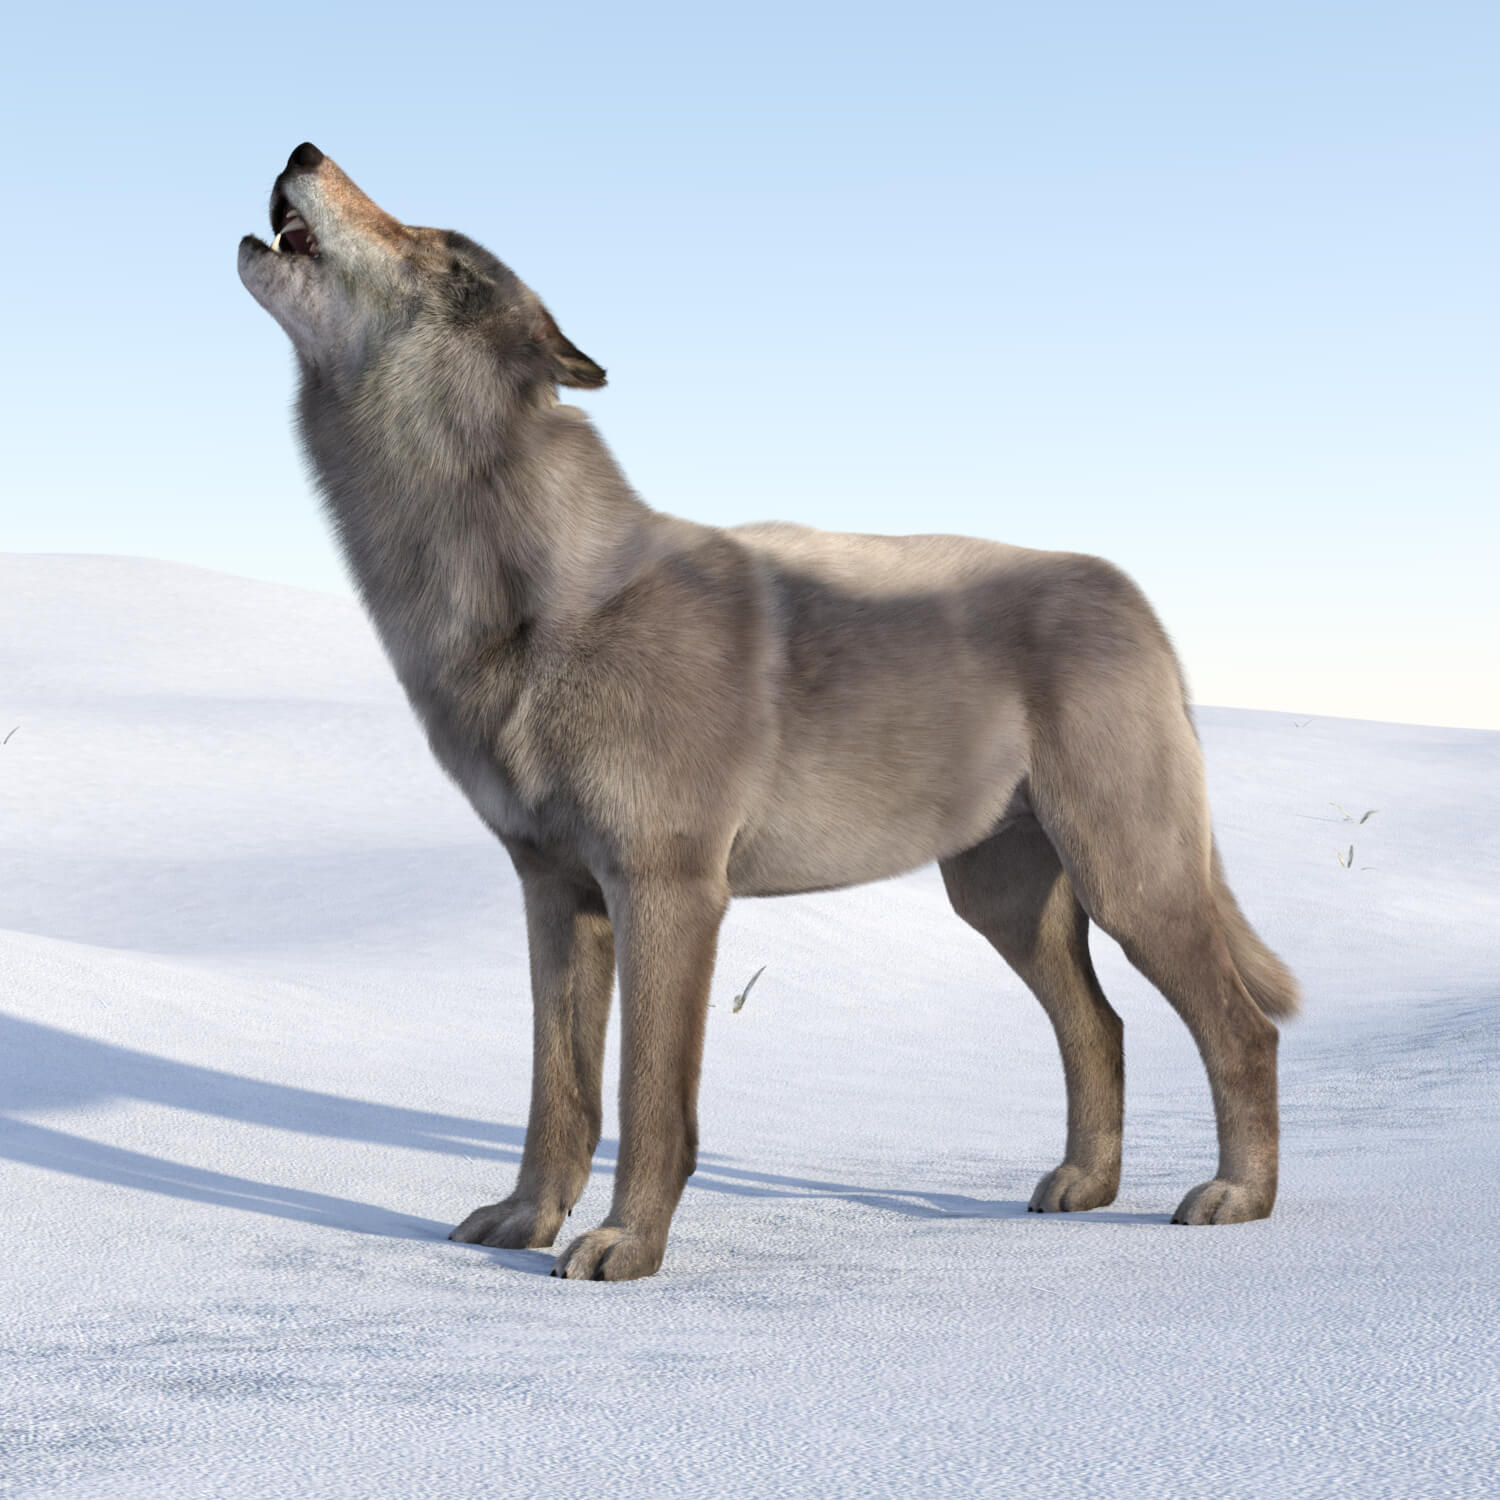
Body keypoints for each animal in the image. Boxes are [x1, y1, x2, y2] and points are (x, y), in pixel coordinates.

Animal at [239, 143, 1299, 1281]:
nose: (302, 150)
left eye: (437, 251)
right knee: (1101, 1028)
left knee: (1242, 1030)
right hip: (1005, 901)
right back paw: (1082, 1187)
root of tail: (1129, 592)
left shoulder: (671, 891)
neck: (533, 601)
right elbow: (557, 1095)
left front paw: (626, 1246)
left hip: (1129, 880)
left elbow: (647, 1098)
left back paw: (1239, 1197)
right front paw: (525, 1223)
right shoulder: (553, 892)